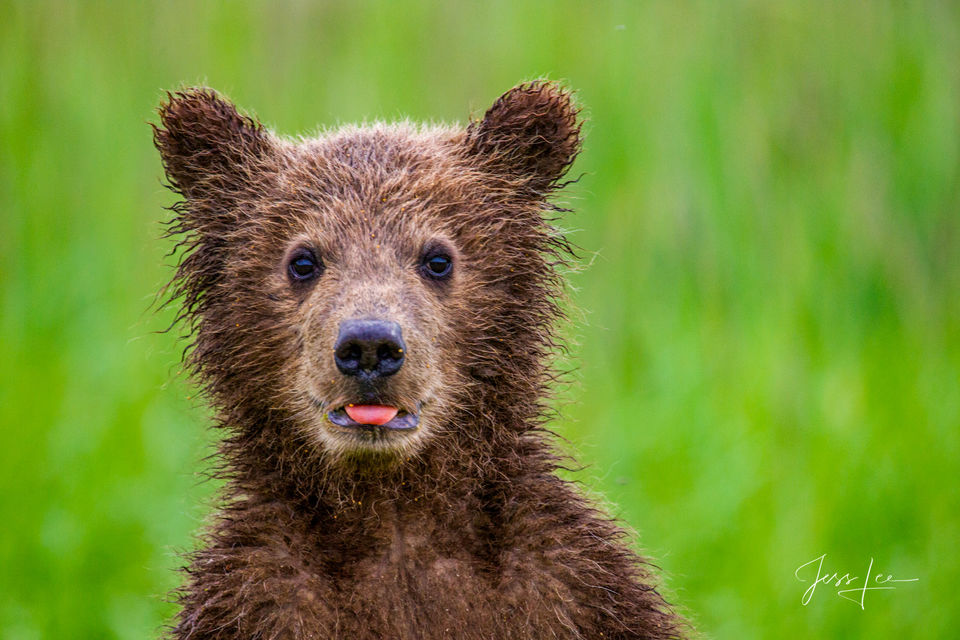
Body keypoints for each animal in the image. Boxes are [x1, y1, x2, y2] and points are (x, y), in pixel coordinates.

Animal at [153, 81, 685, 639]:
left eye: (437, 258)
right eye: (302, 260)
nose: (369, 346)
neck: (395, 516)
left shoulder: (572, 589)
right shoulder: (258, 599)